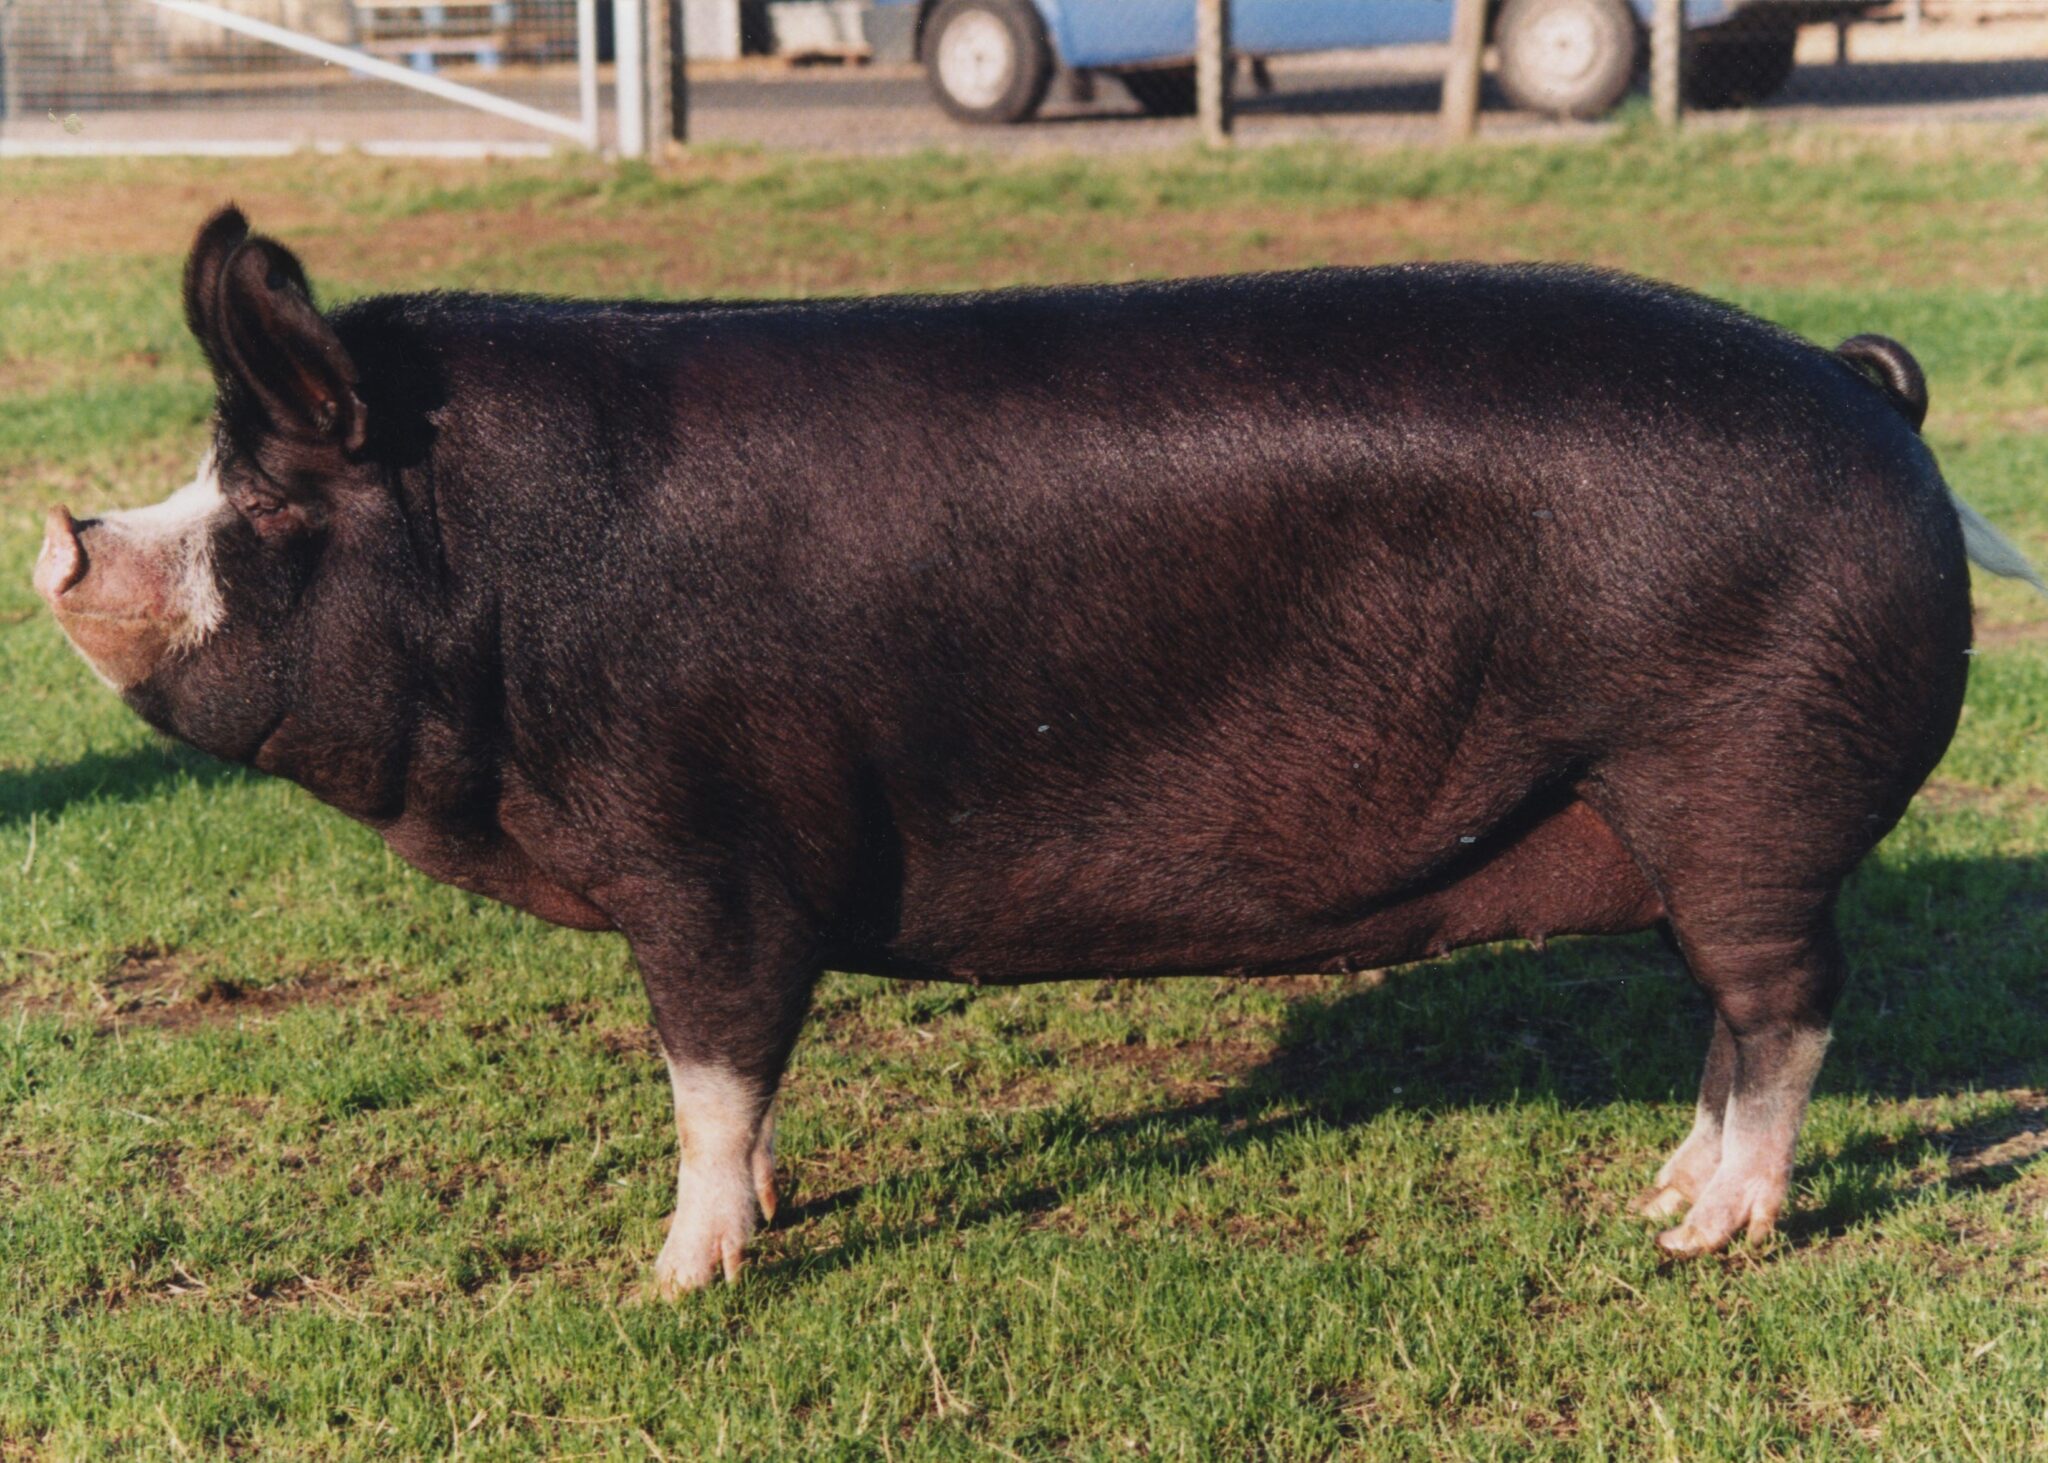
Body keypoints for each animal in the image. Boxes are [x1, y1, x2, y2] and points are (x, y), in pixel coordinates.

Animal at [35, 207, 2043, 1295]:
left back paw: (1704, 1236)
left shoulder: (710, 845)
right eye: (209, 479)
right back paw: (1657, 1194)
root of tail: (1864, 386)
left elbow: (710, 1063)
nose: (58, 535)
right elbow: (736, 1076)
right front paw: (768, 1208)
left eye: (271, 506)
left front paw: (673, 1276)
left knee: (1786, 1001)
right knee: (1729, 1007)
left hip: (1739, 780)